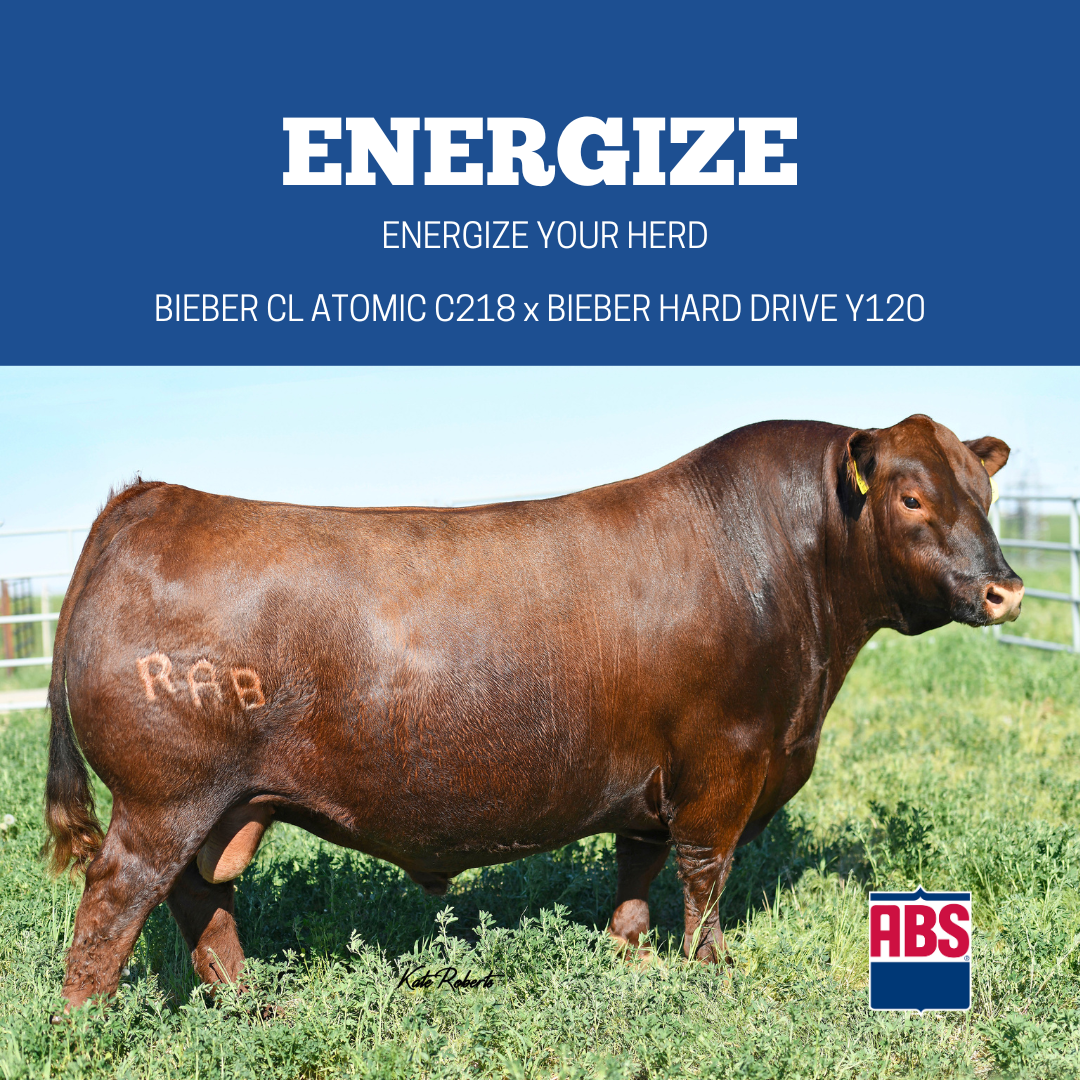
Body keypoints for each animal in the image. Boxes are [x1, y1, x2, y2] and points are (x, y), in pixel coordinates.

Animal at [43, 415, 1023, 1009]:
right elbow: (705, 879)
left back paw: (249, 1006)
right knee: (112, 908)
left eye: (983, 493)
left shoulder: (653, 781)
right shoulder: (725, 764)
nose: (1005, 589)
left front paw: (630, 958)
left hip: (218, 805)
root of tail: (151, 498)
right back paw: (88, 1029)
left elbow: (635, 871)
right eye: (911, 497)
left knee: (202, 898)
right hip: (162, 799)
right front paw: (711, 976)